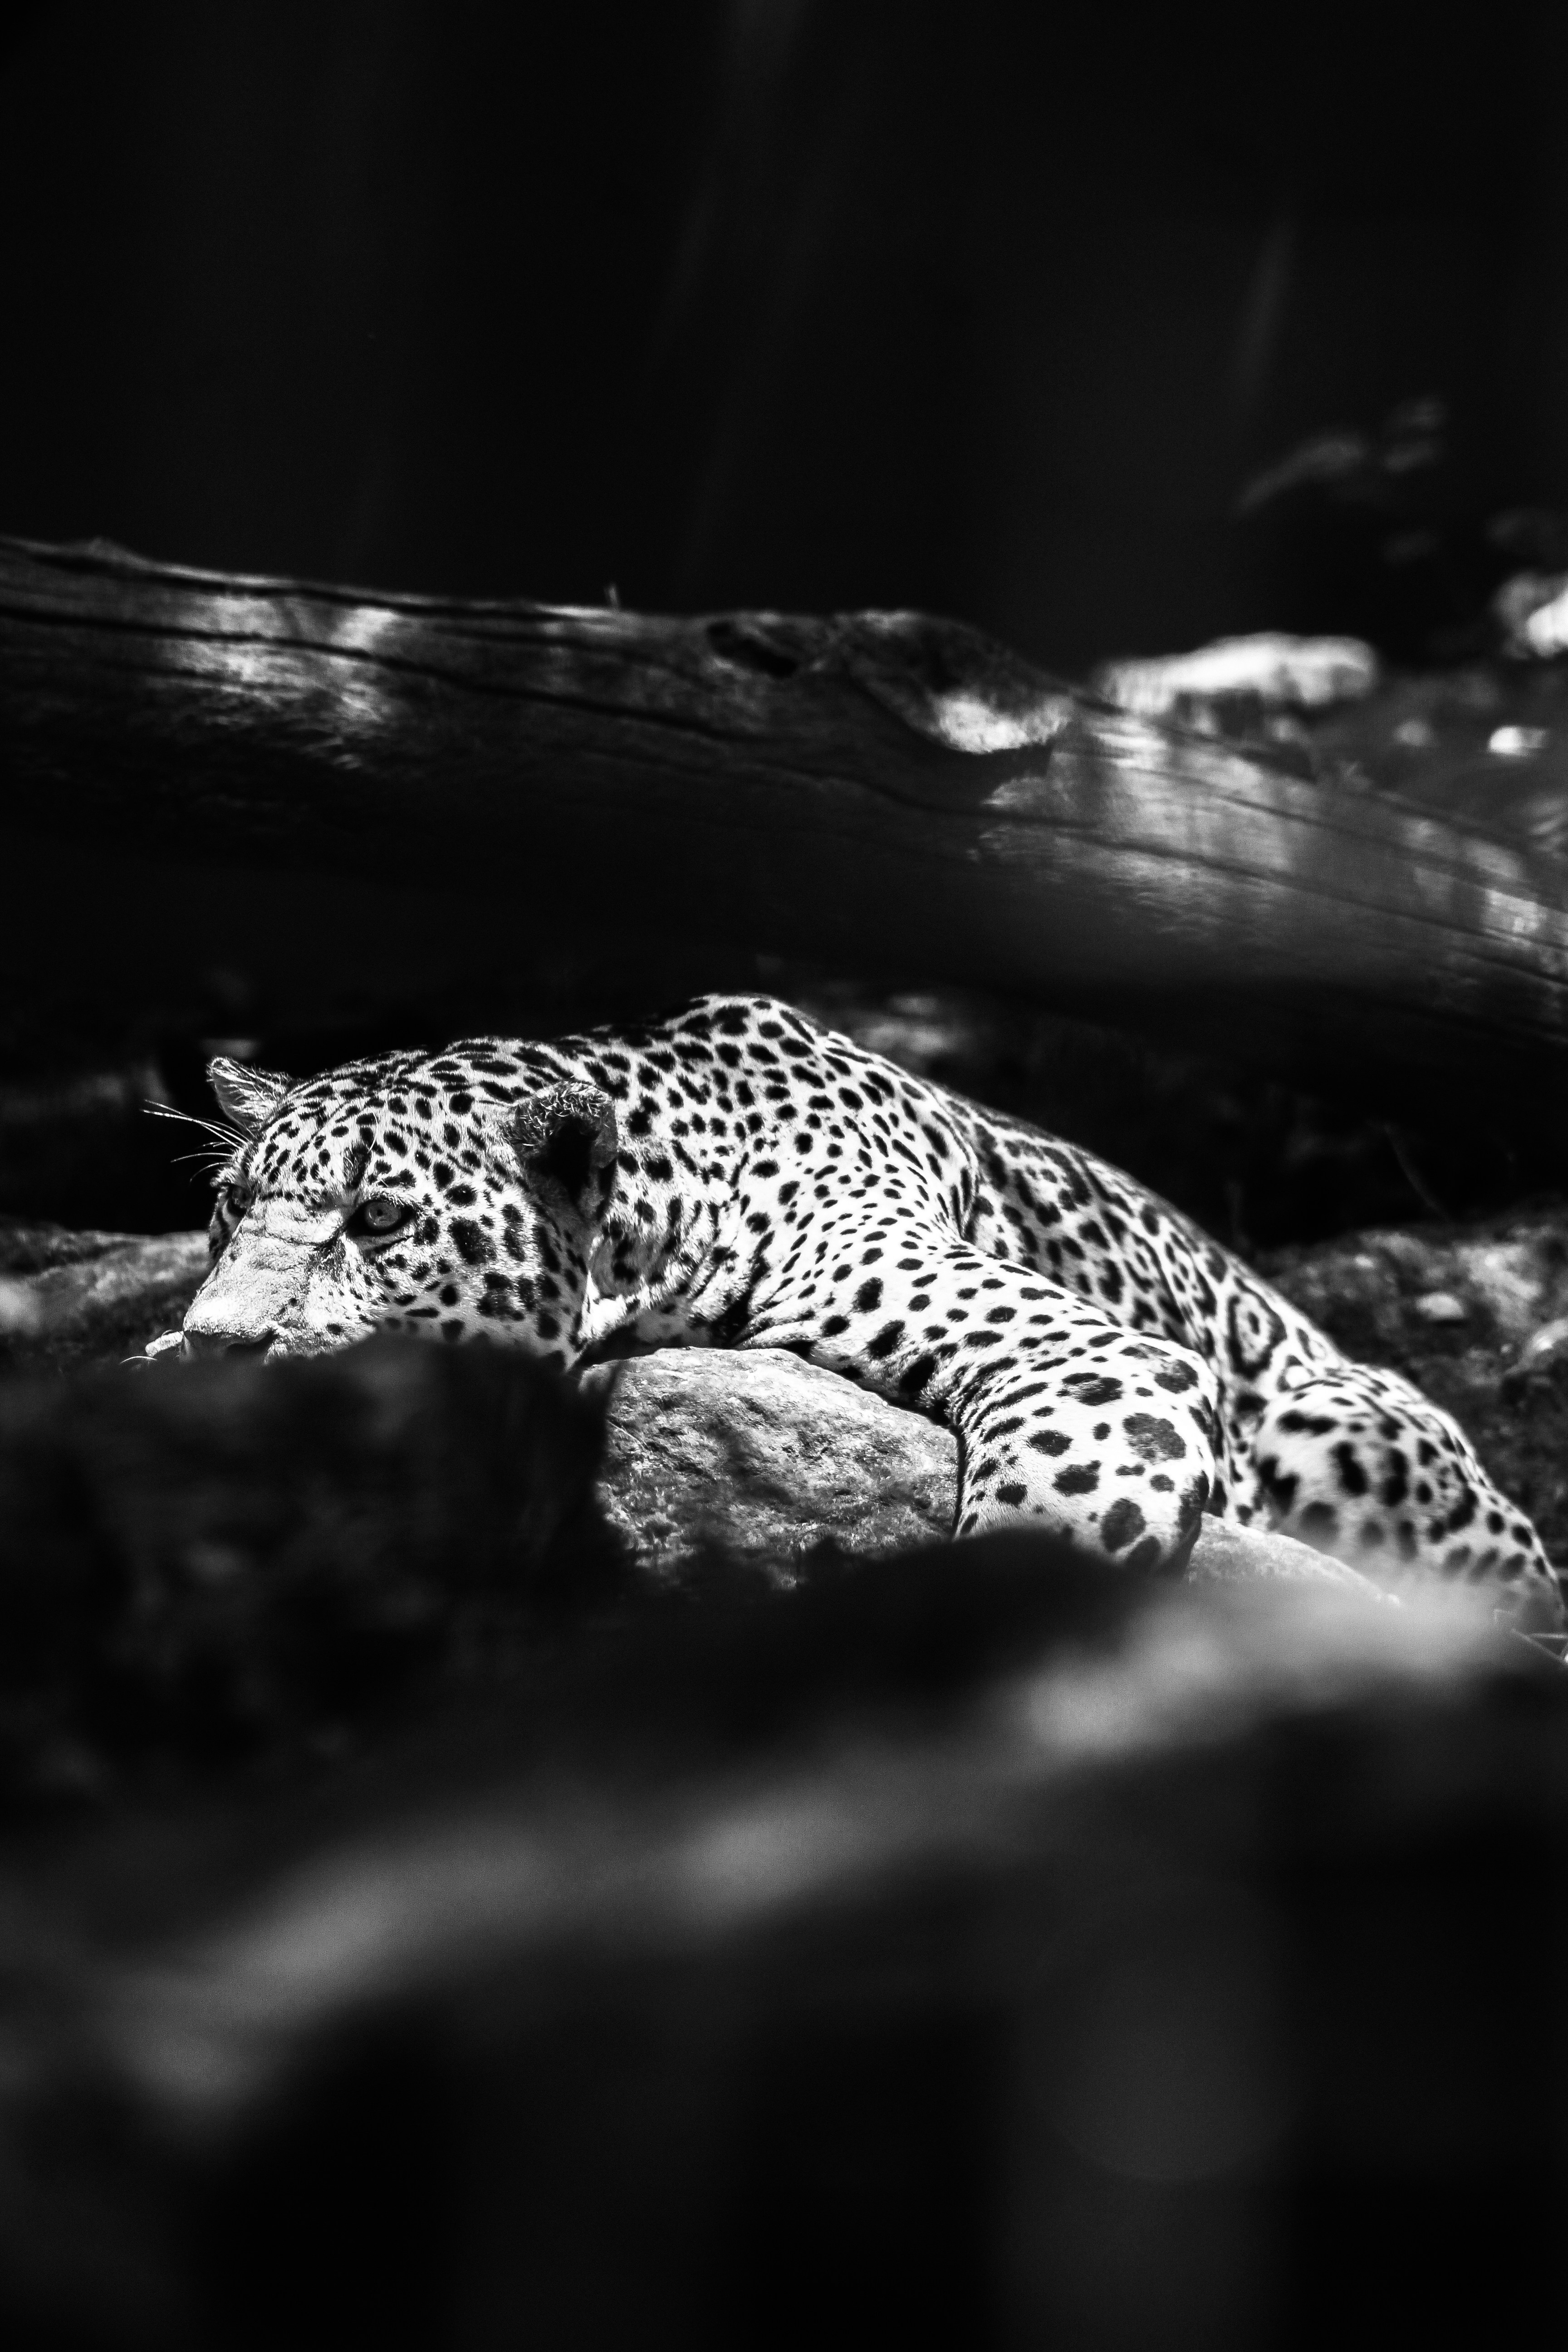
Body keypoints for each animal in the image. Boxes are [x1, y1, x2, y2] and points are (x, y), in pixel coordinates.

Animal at [167, 991, 1560, 1615]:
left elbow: (1048, 1534)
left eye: (376, 1220)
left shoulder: (1090, 1354)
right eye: (231, 1206)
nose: (222, 1346)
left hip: (1347, 1432)